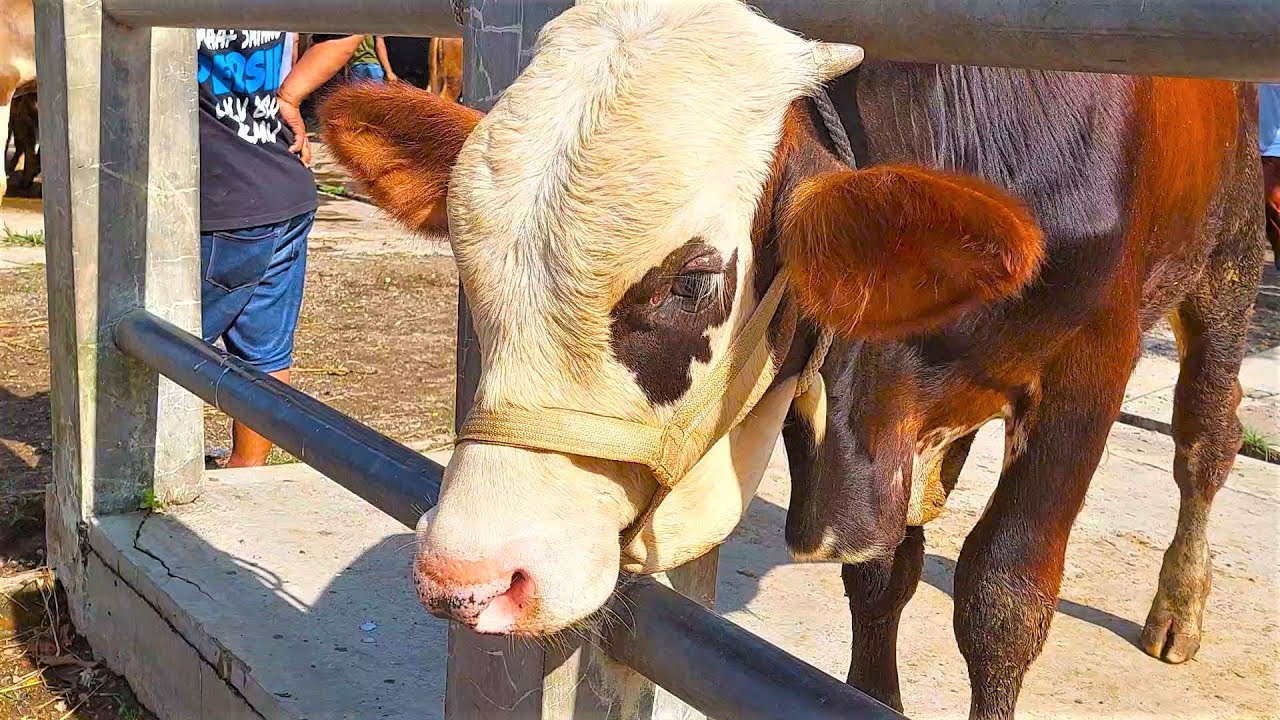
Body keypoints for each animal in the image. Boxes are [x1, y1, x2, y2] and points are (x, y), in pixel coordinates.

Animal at [320, 1, 1265, 717]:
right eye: (467, 259)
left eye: (695, 282)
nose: (468, 574)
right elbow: (879, 576)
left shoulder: (1088, 367)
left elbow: (1004, 600)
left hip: (1229, 260)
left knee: (1205, 439)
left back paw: (1179, 605)